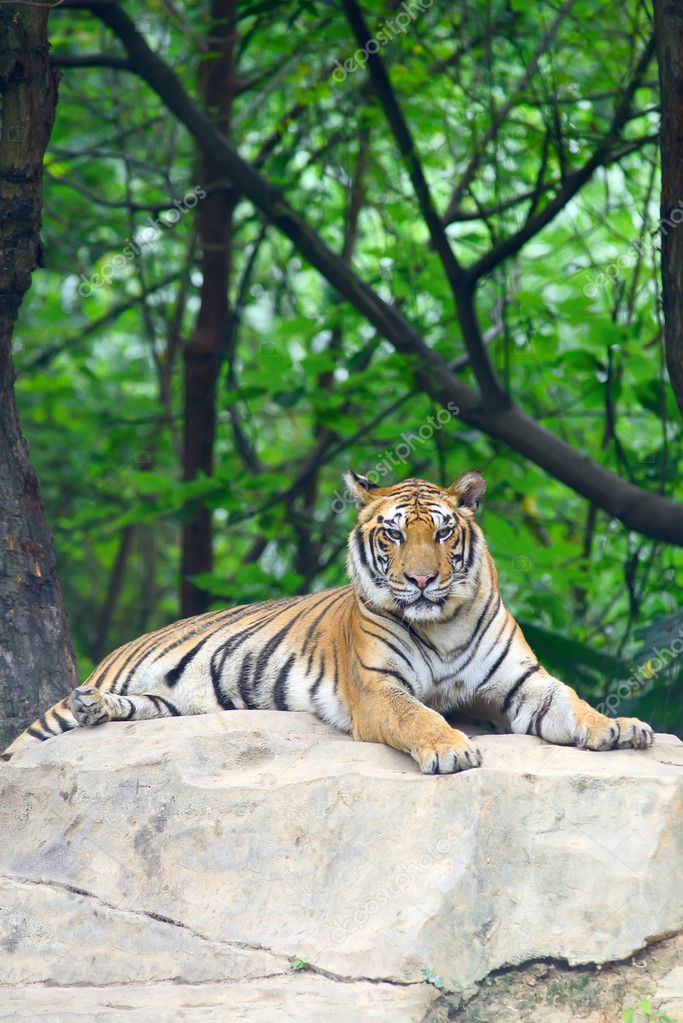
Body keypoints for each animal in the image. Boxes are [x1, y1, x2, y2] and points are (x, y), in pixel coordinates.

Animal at [2, 469, 654, 771]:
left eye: (443, 532)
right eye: (394, 534)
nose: (422, 580)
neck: (442, 624)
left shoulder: (523, 681)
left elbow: (573, 703)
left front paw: (619, 727)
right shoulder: (378, 689)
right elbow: (419, 717)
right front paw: (453, 749)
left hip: (174, 705)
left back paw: (99, 709)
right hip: (104, 686)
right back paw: (85, 705)